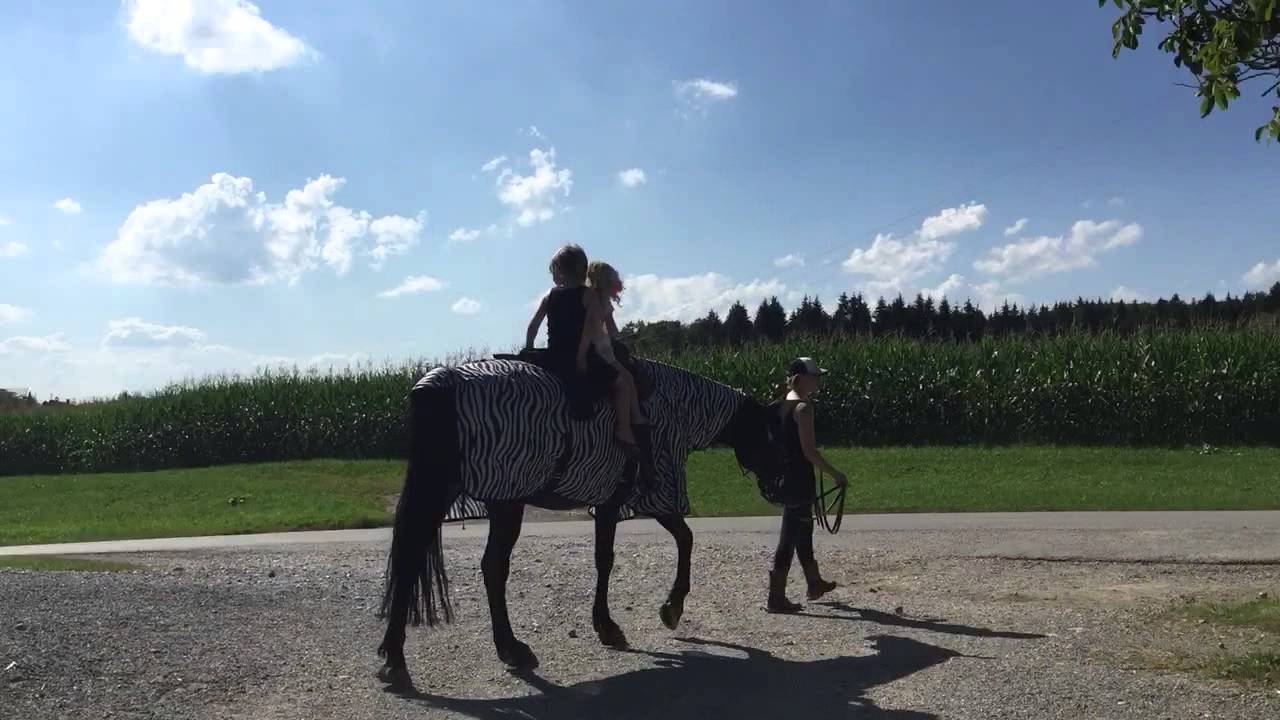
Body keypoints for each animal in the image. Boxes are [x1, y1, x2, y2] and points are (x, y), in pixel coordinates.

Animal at [375, 356, 785, 685]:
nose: (778, 489)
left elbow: (630, 552)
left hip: (455, 495)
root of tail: (441, 382)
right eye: (771, 436)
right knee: (488, 566)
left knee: (420, 560)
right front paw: (662, 610)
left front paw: (621, 620)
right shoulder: (644, 498)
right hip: (504, 502)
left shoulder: (614, 502)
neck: (672, 407)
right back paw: (502, 647)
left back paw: (403, 655)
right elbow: (669, 543)